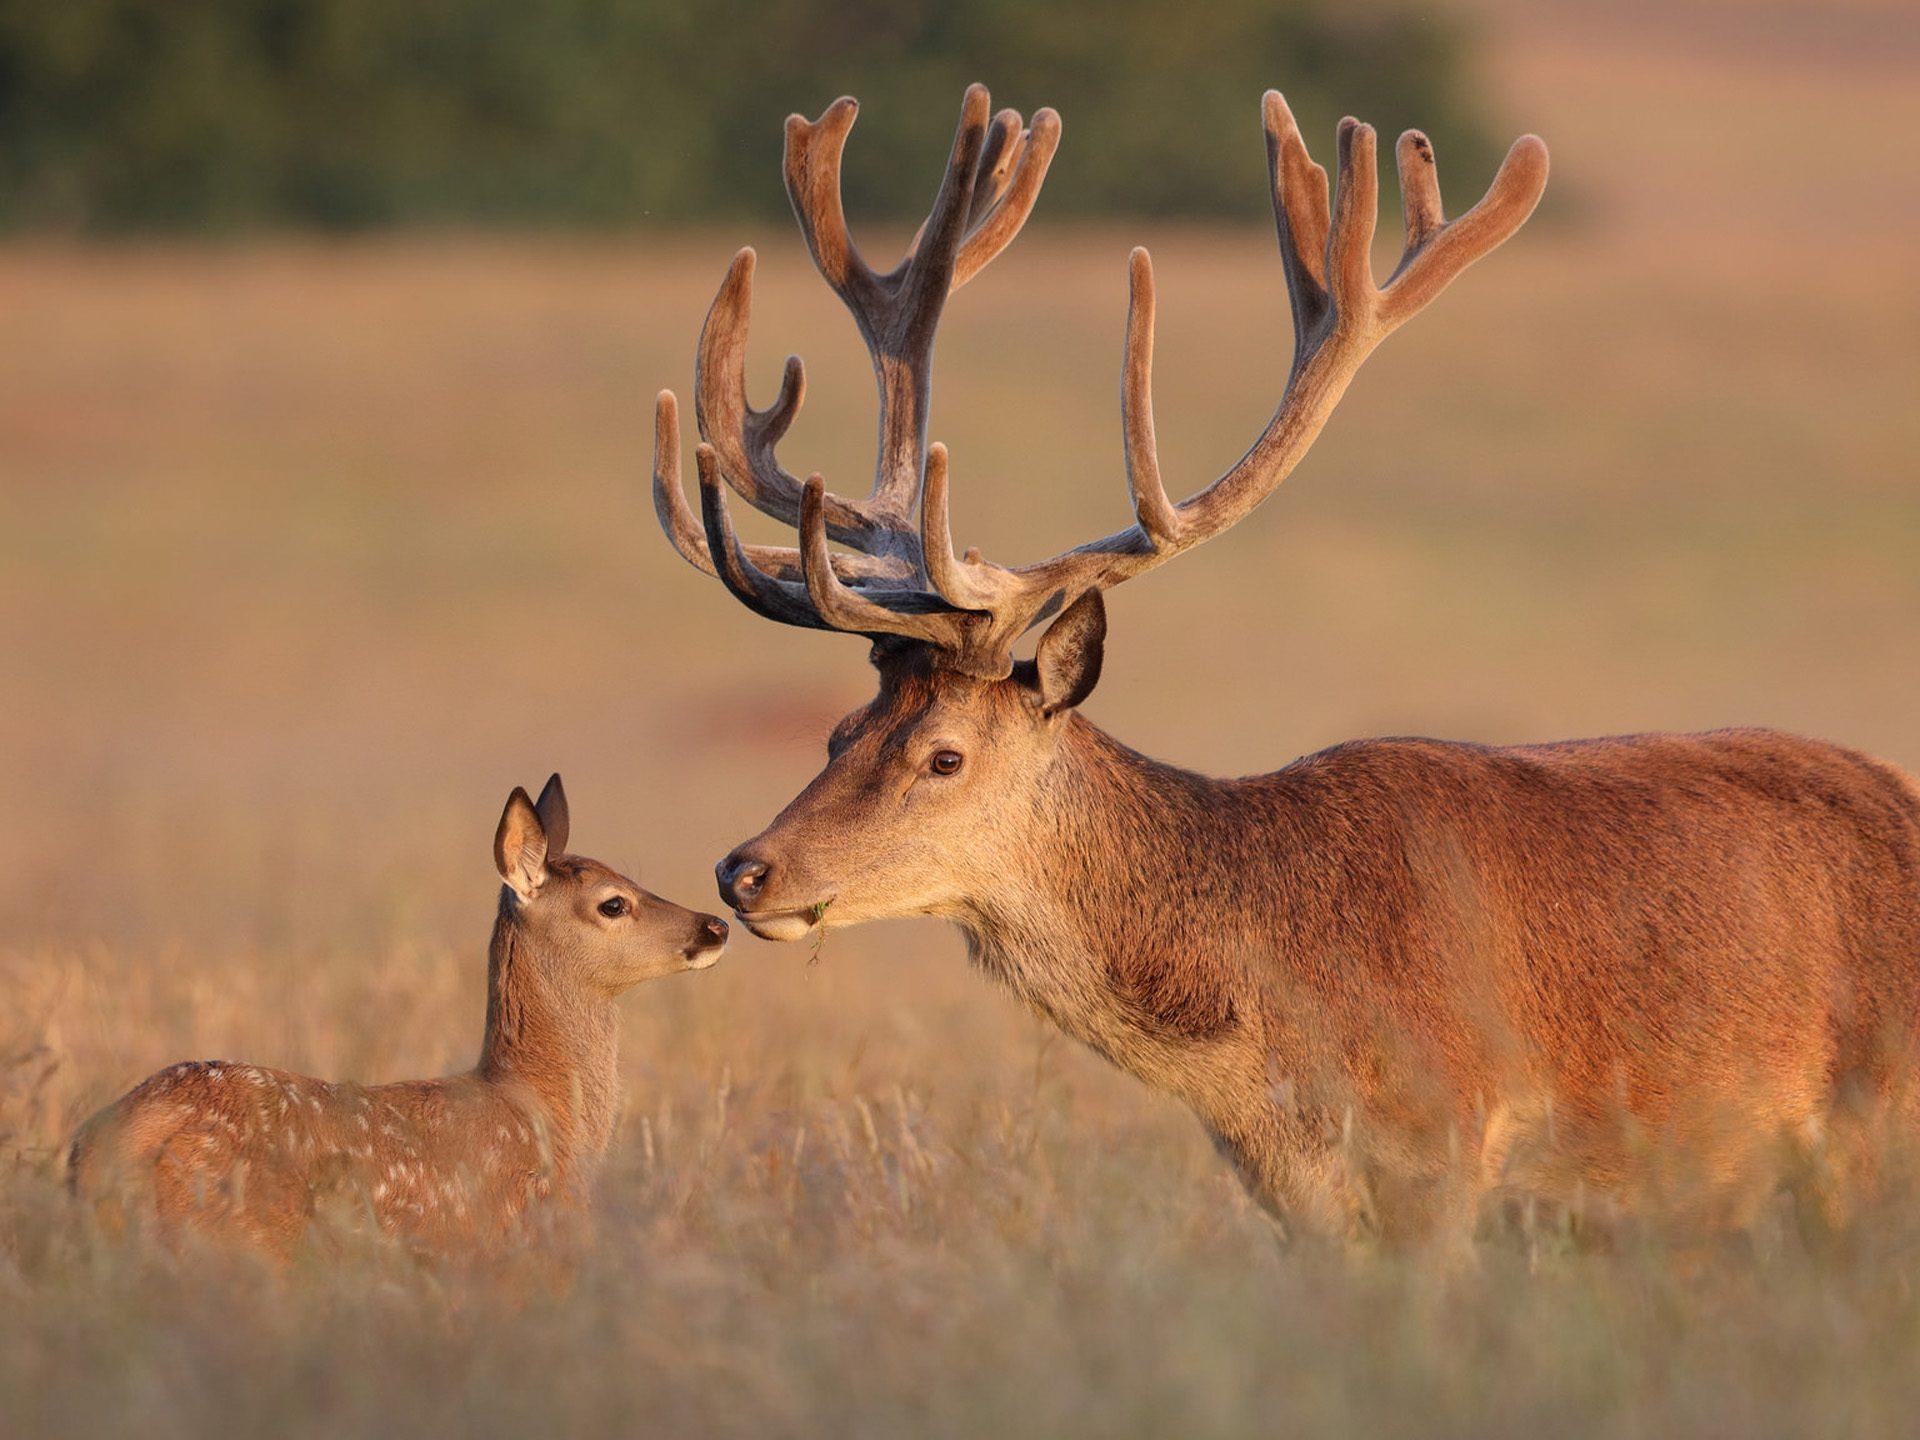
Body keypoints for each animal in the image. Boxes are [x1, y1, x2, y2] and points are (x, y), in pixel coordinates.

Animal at [650, 83, 1920, 1242]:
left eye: (946, 755)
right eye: (839, 732)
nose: (745, 871)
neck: (1269, 1048)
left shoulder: (1447, 1144)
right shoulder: (1295, 1199)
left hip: (1872, 1133)